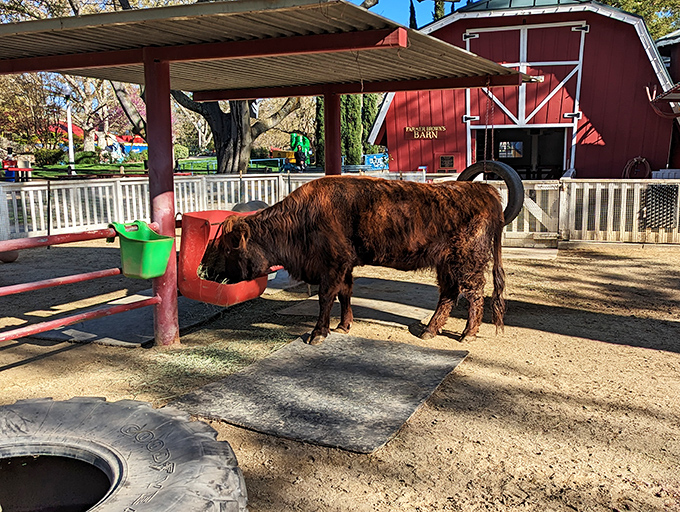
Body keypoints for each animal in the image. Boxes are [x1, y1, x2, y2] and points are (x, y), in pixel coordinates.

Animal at [200, 175, 506, 345]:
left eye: (227, 248)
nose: (205, 268)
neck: (302, 218)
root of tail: (483, 190)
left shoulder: (332, 264)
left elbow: (326, 297)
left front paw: (318, 333)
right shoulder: (344, 265)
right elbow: (345, 293)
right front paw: (343, 325)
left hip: (467, 262)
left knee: (474, 293)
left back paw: (468, 333)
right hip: (446, 264)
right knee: (449, 294)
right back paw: (429, 331)